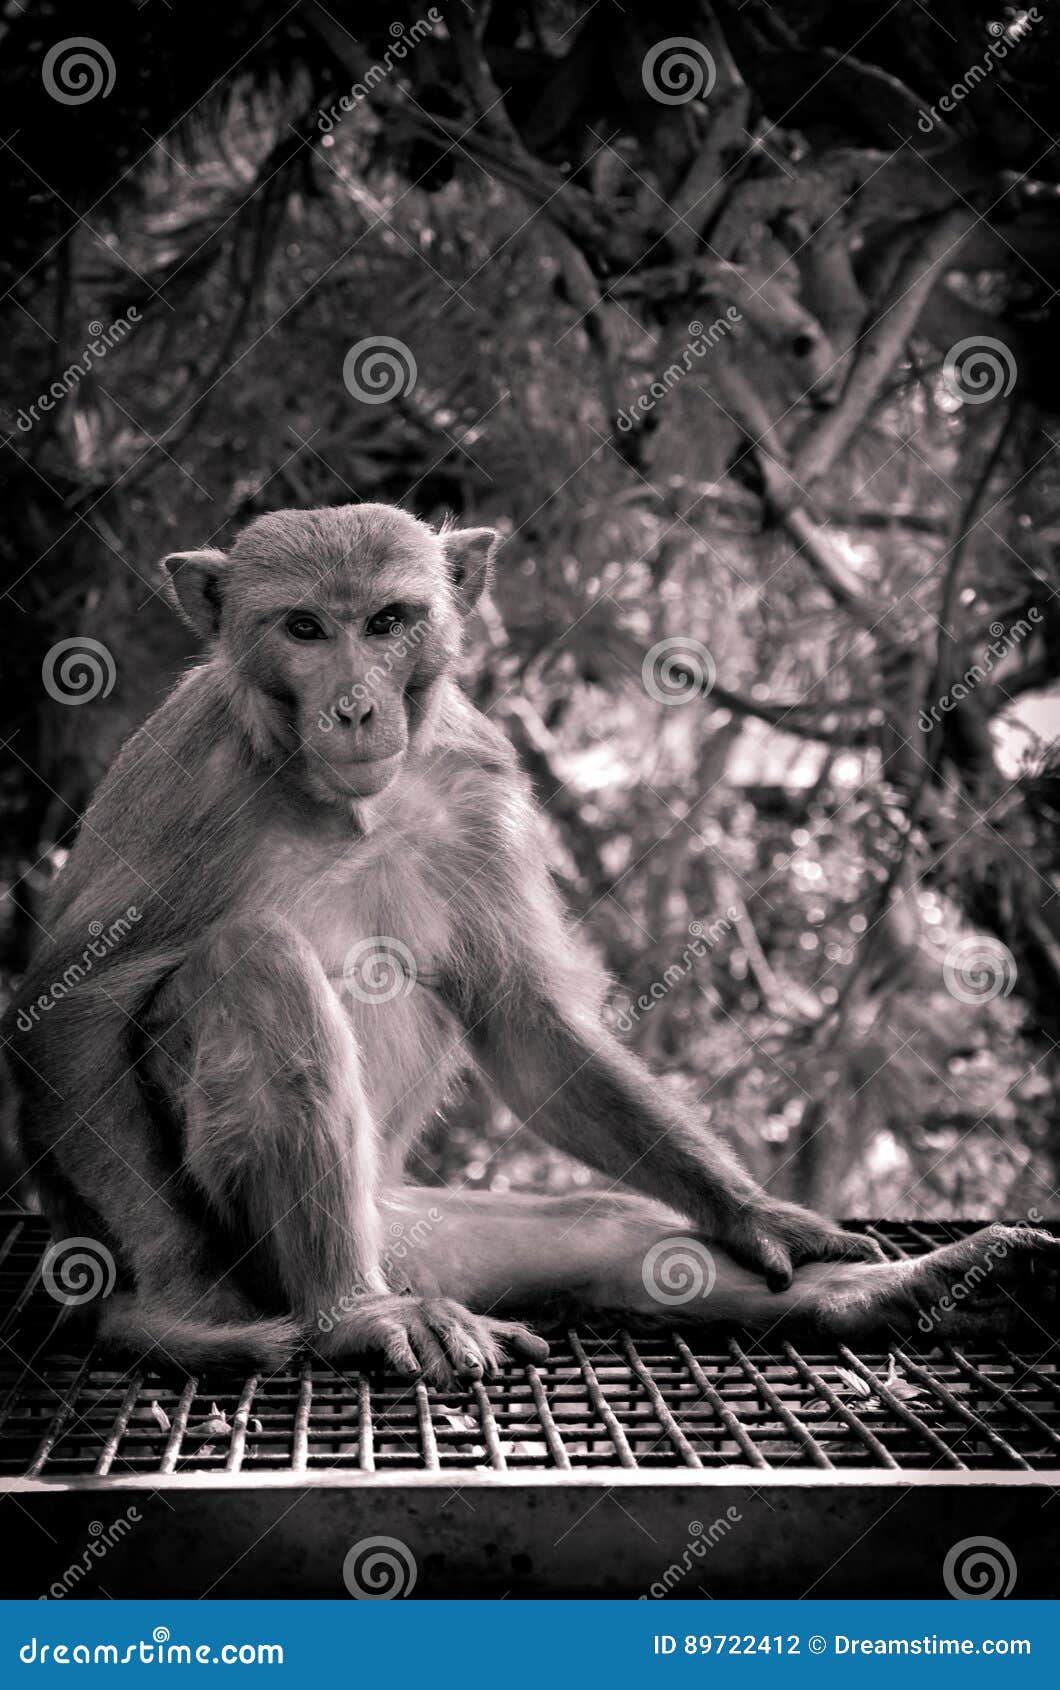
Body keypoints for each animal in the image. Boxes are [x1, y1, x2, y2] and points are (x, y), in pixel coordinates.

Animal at [2, 502, 1056, 1382]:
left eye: (387, 622)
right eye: (303, 628)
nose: (355, 706)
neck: (341, 802)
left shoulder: (481, 791)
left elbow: (528, 1027)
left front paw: (761, 1216)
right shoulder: (186, 774)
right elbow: (70, 1012)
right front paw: (185, 1305)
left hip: (416, 1229)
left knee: (606, 1232)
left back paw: (894, 1290)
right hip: (278, 1245)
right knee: (252, 962)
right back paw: (350, 1311)